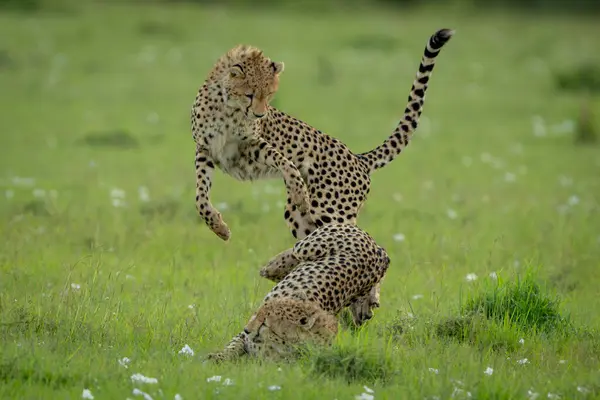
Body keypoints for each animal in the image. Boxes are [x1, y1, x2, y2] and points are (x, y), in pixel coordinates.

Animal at [191, 28, 455, 243]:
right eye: (250, 94)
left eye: (269, 95)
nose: (259, 114)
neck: (226, 106)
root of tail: (358, 157)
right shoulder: (205, 150)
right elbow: (201, 196)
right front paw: (218, 226)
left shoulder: (252, 144)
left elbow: (283, 160)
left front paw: (298, 189)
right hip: (302, 218)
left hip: (331, 211)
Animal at [206, 223, 390, 362]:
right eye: (259, 312)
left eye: (265, 323)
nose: (246, 329)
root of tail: (380, 252)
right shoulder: (244, 336)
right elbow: (232, 348)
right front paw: (216, 358)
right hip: (311, 246)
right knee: (295, 249)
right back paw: (272, 265)